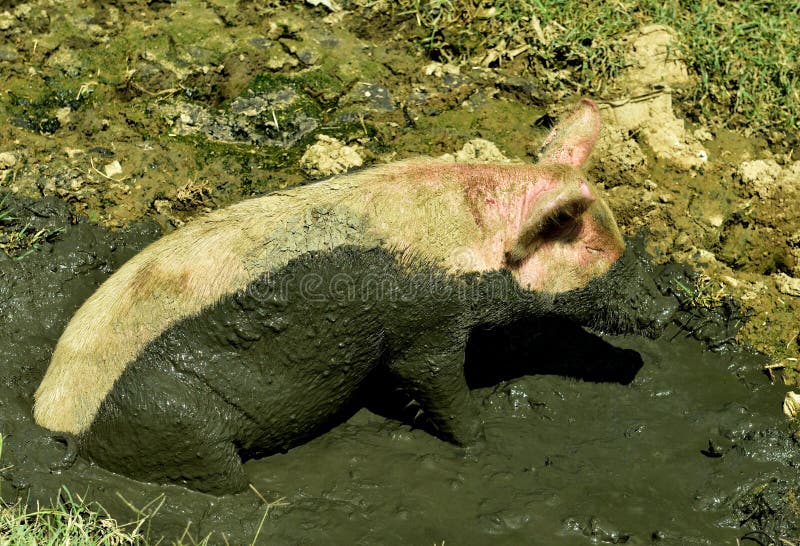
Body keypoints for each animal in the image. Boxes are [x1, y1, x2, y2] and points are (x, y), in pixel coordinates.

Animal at [34, 99, 662, 494]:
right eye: (593, 249)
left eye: (618, 232)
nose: (664, 307)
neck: (465, 240)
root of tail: (50, 419)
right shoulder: (422, 326)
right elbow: (433, 380)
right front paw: (482, 444)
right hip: (172, 420)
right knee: (219, 480)